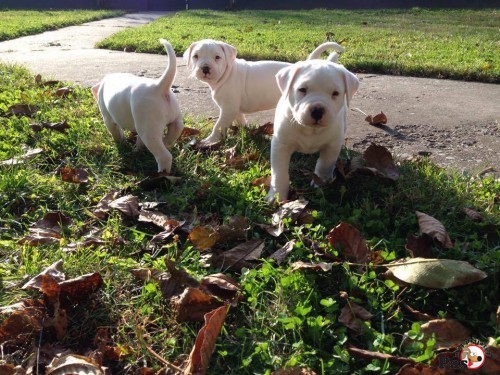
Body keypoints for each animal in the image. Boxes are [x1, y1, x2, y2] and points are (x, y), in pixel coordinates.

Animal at [92, 38, 184, 173]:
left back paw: (161, 174)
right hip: (175, 122)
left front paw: (121, 143)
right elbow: (139, 141)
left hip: (149, 132)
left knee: (164, 156)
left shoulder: (108, 119)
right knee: (170, 138)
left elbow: (116, 133)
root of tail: (159, 87)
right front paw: (137, 149)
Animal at [184, 39, 344, 145]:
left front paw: (210, 140)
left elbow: (218, 125)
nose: (205, 68)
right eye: (195, 56)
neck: (226, 73)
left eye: (217, 57)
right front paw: (245, 130)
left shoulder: (228, 109)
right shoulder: (234, 108)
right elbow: (240, 119)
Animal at [266, 58, 360, 203]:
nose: (317, 110)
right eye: (302, 89)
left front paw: (320, 182)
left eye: (335, 93)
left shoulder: (331, 146)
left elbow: (324, 164)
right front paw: (277, 195)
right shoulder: (281, 146)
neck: (311, 131)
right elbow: (279, 173)